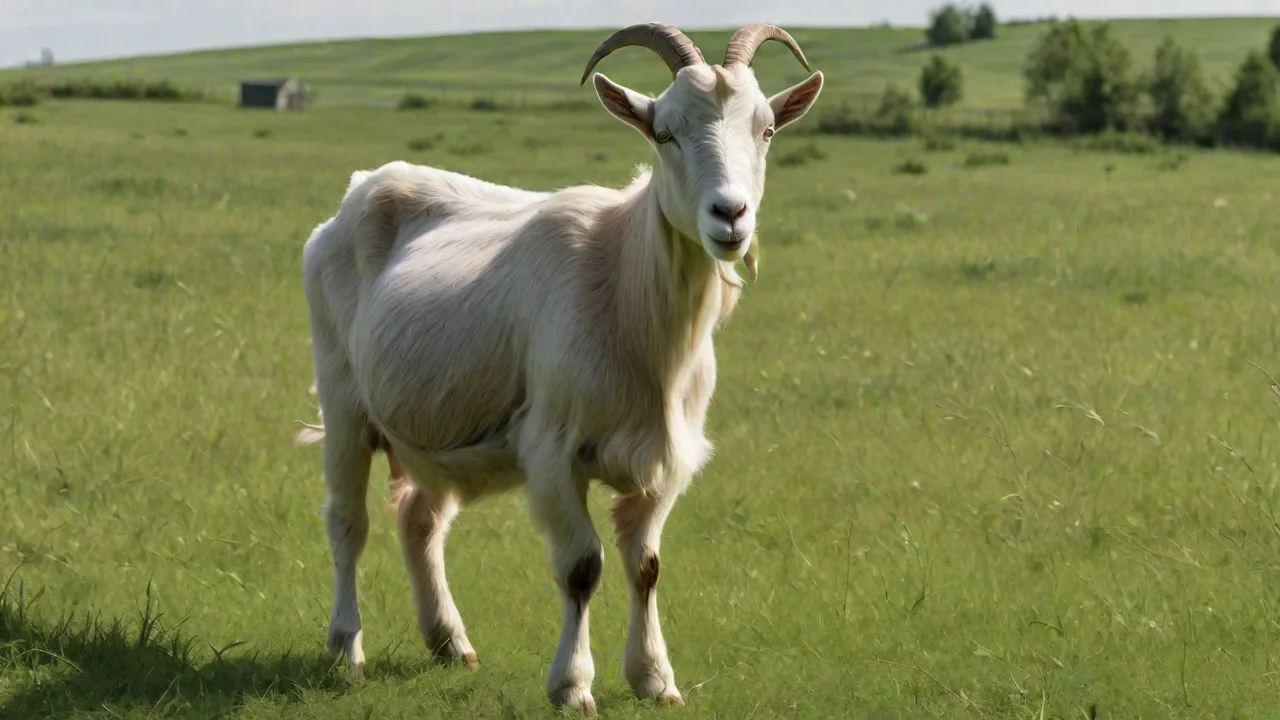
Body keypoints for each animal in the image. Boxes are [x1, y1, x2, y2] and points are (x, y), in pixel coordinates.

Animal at [296, 22, 823, 714]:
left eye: (766, 129)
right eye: (664, 132)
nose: (730, 215)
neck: (626, 293)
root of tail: (359, 189)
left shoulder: (663, 458)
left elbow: (646, 566)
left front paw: (655, 679)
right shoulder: (552, 448)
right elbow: (582, 567)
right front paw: (573, 686)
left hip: (431, 418)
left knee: (419, 520)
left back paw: (450, 642)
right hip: (342, 397)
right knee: (346, 522)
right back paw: (346, 649)